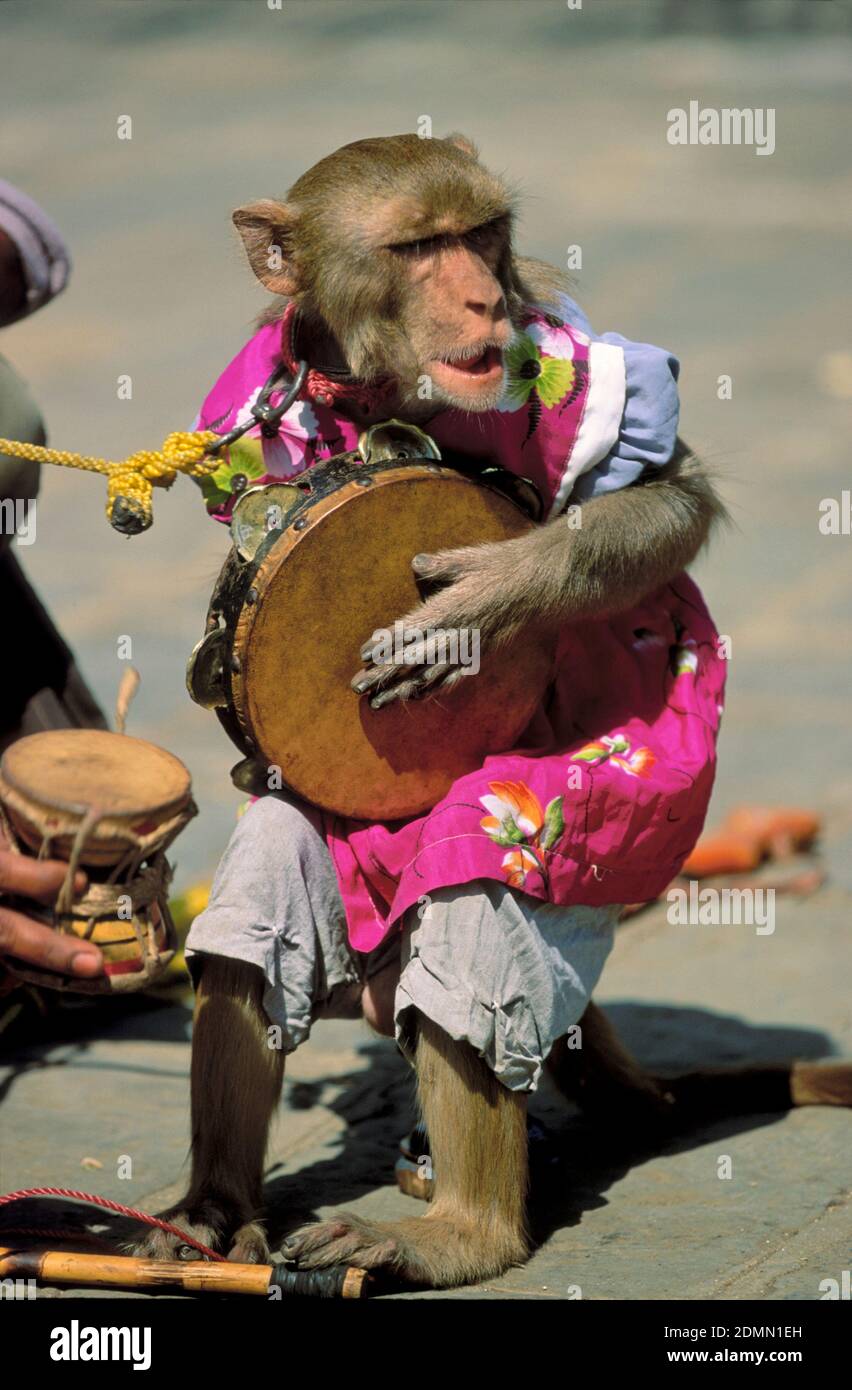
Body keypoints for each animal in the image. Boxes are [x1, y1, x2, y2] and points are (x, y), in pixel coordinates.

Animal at [132, 135, 852, 1288]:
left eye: (477, 237)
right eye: (417, 249)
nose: (476, 294)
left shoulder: (563, 358)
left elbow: (666, 496)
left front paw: (478, 610)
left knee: (478, 883)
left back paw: (463, 1233)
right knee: (266, 889)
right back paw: (213, 1212)